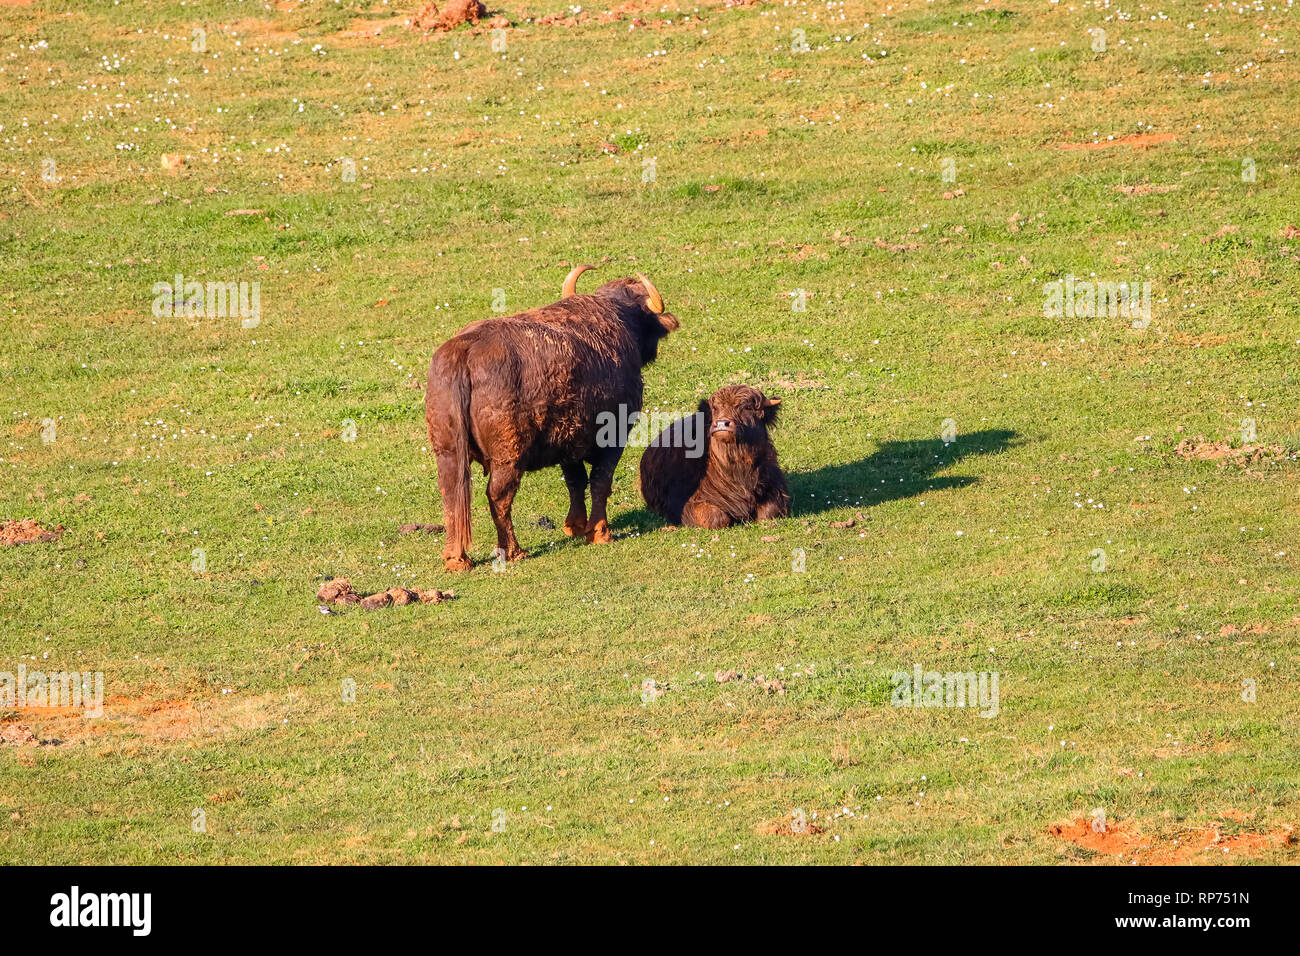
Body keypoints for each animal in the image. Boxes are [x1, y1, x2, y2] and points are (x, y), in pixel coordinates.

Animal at [425, 266, 679, 570]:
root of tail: (464, 351)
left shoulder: (568, 444)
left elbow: (575, 481)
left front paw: (575, 526)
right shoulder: (612, 439)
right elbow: (599, 482)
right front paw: (599, 532)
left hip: (448, 453)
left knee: (452, 494)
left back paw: (457, 558)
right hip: (508, 459)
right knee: (499, 496)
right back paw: (514, 551)